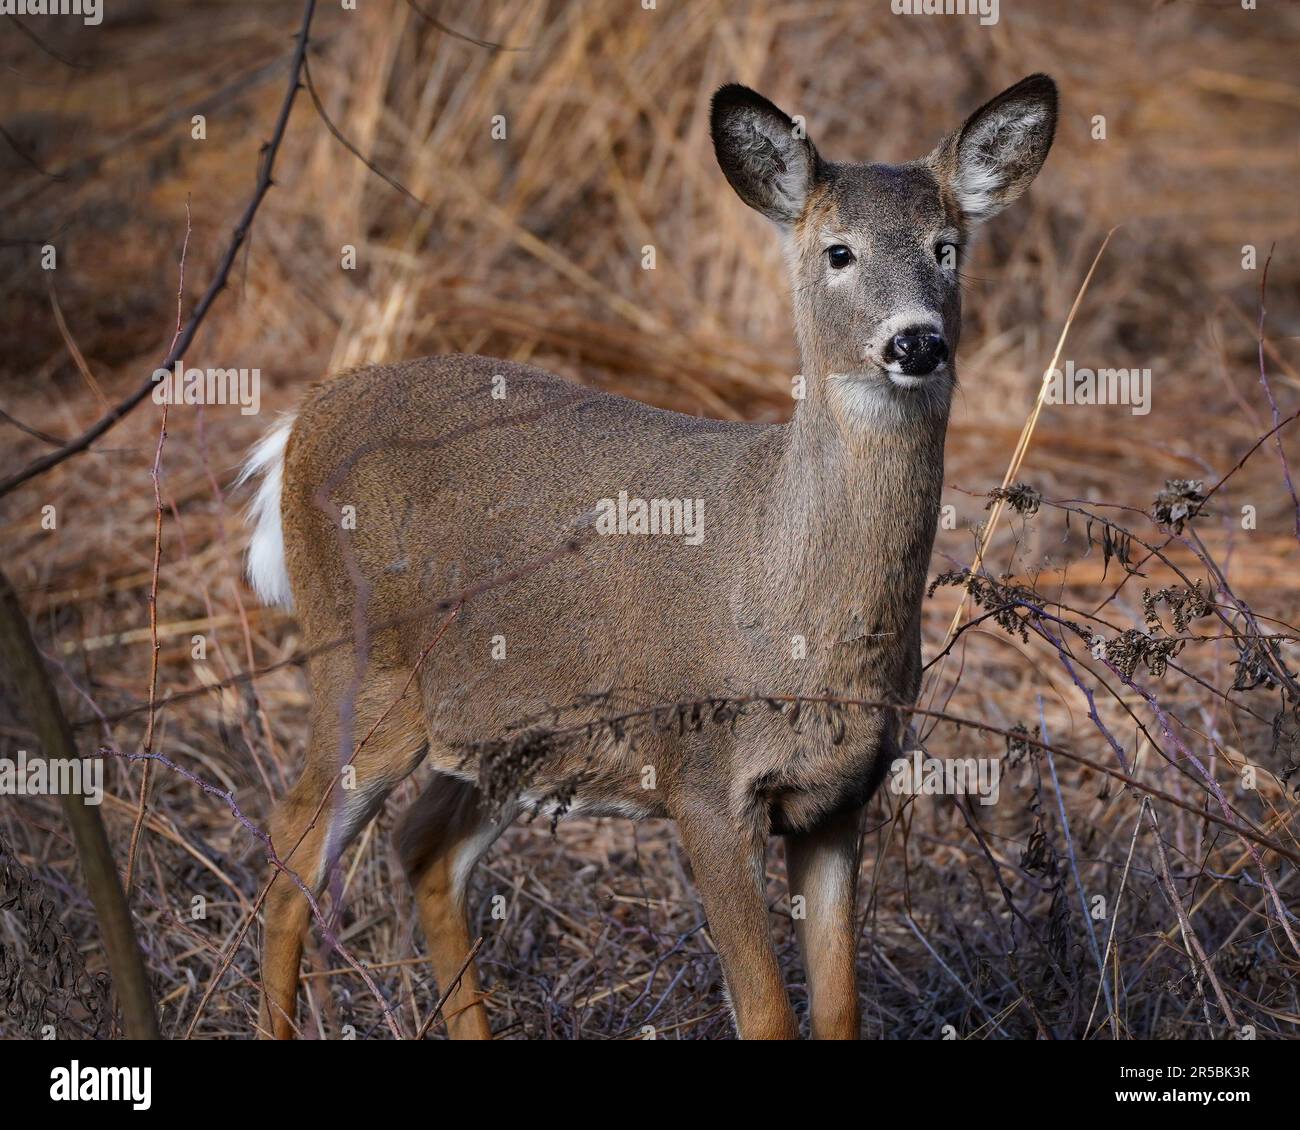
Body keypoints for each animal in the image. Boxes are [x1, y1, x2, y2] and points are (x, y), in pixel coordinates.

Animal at [242, 74, 1057, 1040]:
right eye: (839, 253)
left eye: (947, 248)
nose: (916, 341)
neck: (791, 606)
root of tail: (301, 422)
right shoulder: (701, 778)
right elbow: (769, 1016)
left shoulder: (838, 799)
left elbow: (839, 1013)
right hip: (361, 668)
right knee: (290, 848)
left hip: (508, 732)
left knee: (425, 849)